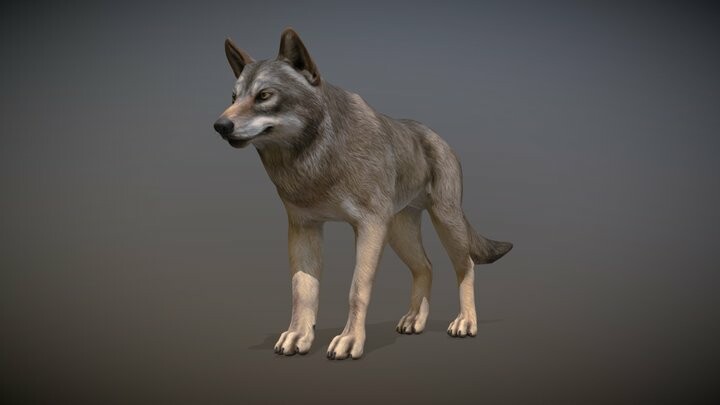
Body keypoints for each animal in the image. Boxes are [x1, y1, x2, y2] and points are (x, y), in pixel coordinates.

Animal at [213, 28, 513, 360]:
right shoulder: (304, 228)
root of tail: (439, 138)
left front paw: (350, 340)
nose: (220, 125)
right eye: (233, 97)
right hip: (398, 232)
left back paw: (465, 321)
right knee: (426, 267)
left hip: (445, 222)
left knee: (465, 265)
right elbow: (302, 291)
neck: (316, 157)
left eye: (264, 95)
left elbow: (357, 289)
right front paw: (298, 335)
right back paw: (415, 319)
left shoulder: (369, 227)